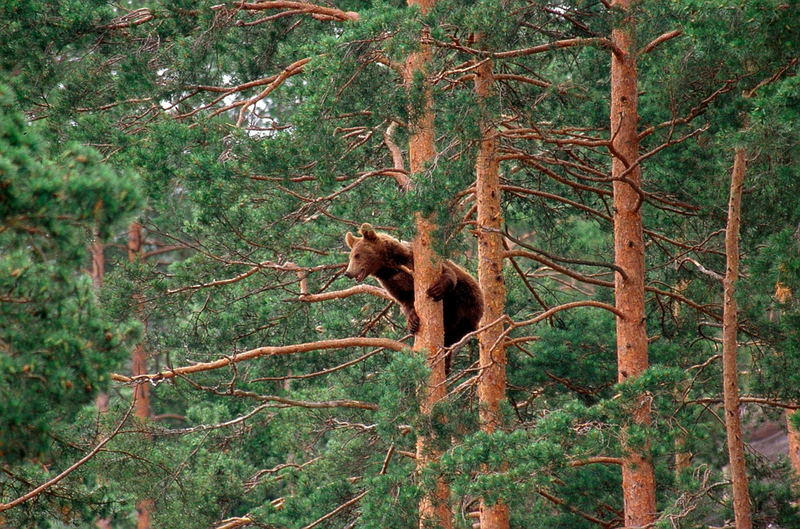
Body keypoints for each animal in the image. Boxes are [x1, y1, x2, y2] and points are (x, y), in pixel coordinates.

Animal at [344, 223, 483, 368]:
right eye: (351, 256)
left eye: (357, 255)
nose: (348, 273)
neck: (390, 268)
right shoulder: (392, 284)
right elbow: (405, 302)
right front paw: (413, 322)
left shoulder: (413, 262)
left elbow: (449, 273)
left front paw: (437, 289)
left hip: (467, 301)